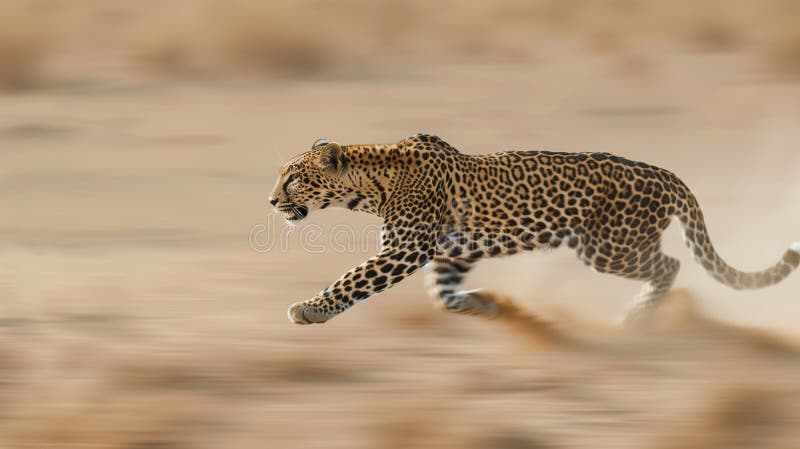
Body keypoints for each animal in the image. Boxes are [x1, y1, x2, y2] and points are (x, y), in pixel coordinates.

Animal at [268, 134, 800, 325]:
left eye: (293, 177)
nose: (272, 201)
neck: (372, 183)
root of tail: (669, 174)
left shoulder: (406, 248)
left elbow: (352, 279)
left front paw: (309, 309)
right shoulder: (454, 249)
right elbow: (441, 293)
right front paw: (485, 305)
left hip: (608, 246)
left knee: (668, 264)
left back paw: (636, 317)